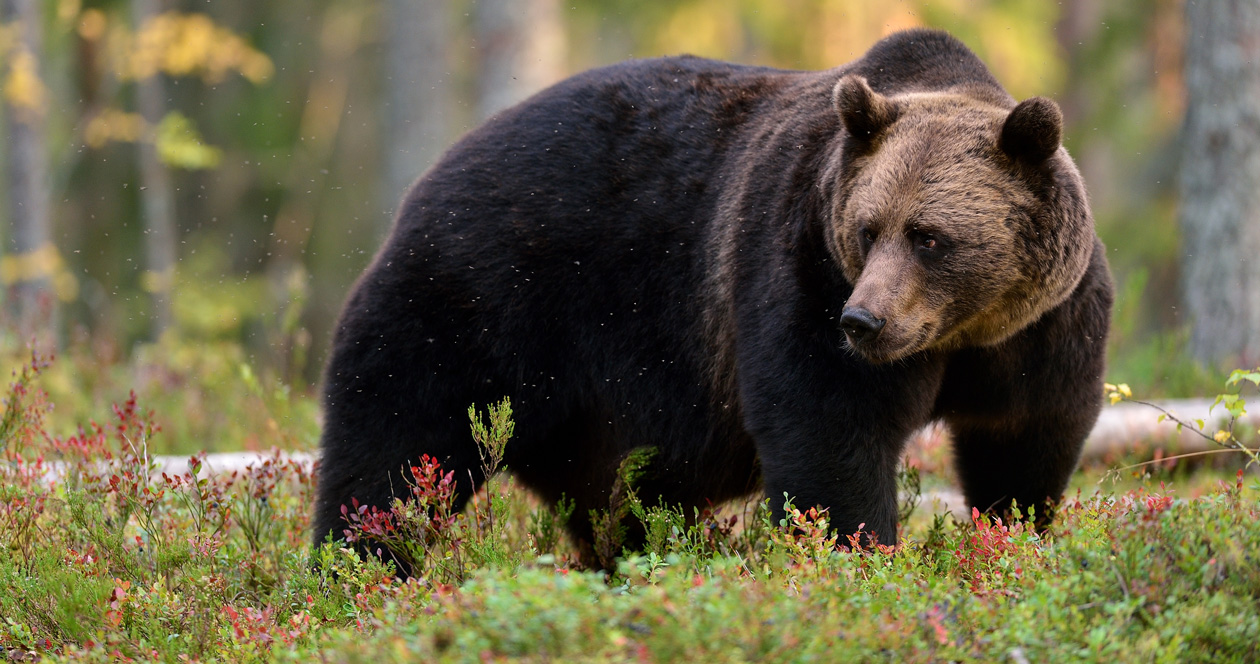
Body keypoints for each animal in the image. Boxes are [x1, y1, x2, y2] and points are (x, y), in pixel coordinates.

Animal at [312, 28, 1113, 566]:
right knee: (395, 447)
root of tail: (434, 173)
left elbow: (1025, 443)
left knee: (621, 505)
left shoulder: (1044, 329)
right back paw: (355, 568)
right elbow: (830, 436)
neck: (960, 333)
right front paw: (856, 558)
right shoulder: (800, 270)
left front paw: (1011, 539)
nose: (864, 320)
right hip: (478, 297)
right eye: (867, 227)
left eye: (930, 237)